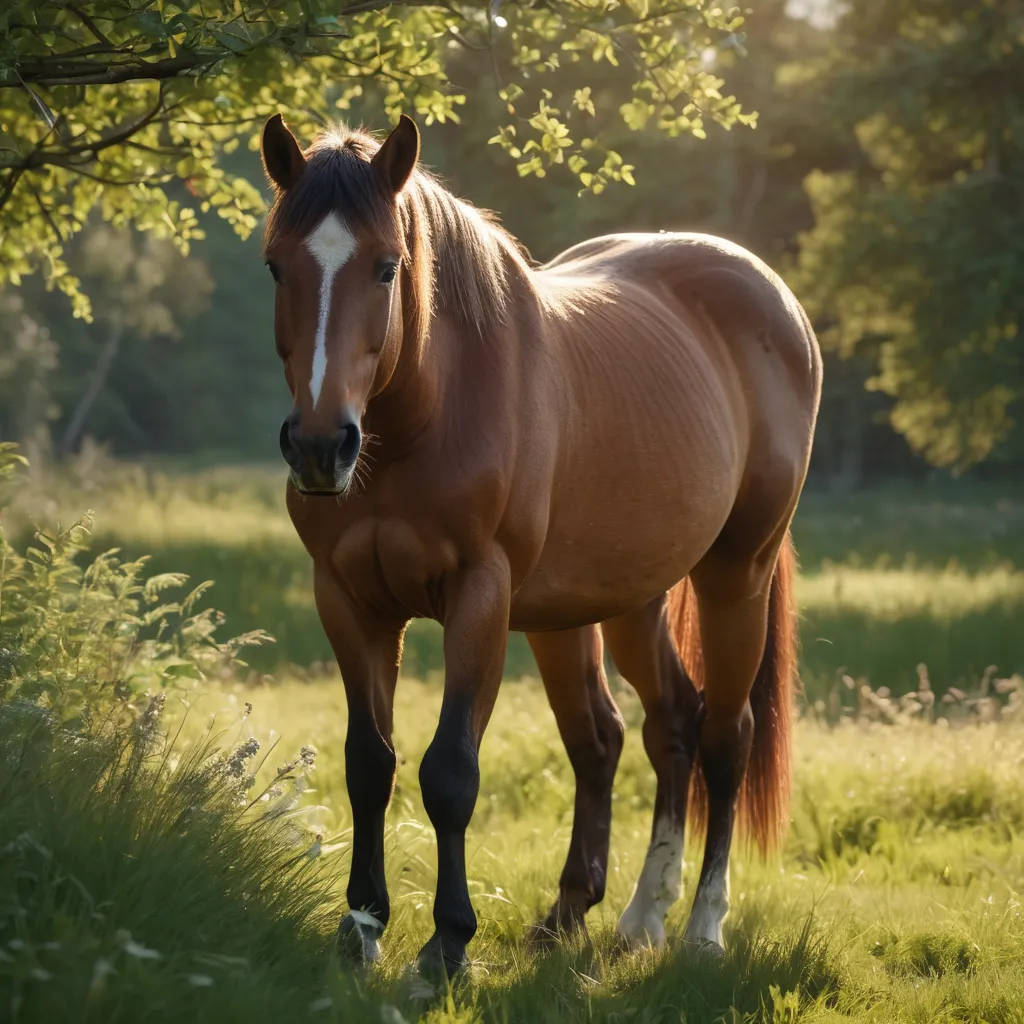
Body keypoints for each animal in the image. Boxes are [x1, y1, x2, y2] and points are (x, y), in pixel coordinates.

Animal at [259, 111, 822, 979]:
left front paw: (447, 944)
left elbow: (450, 771)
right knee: (650, 729)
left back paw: (701, 929)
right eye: (276, 266)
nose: (321, 447)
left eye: (388, 267)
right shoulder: (349, 601)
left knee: (725, 738)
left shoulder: (479, 599)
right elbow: (370, 763)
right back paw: (616, 916)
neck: (427, 415)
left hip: (737, 576)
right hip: (612, 603)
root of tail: (775, 300)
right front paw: (361, 929)